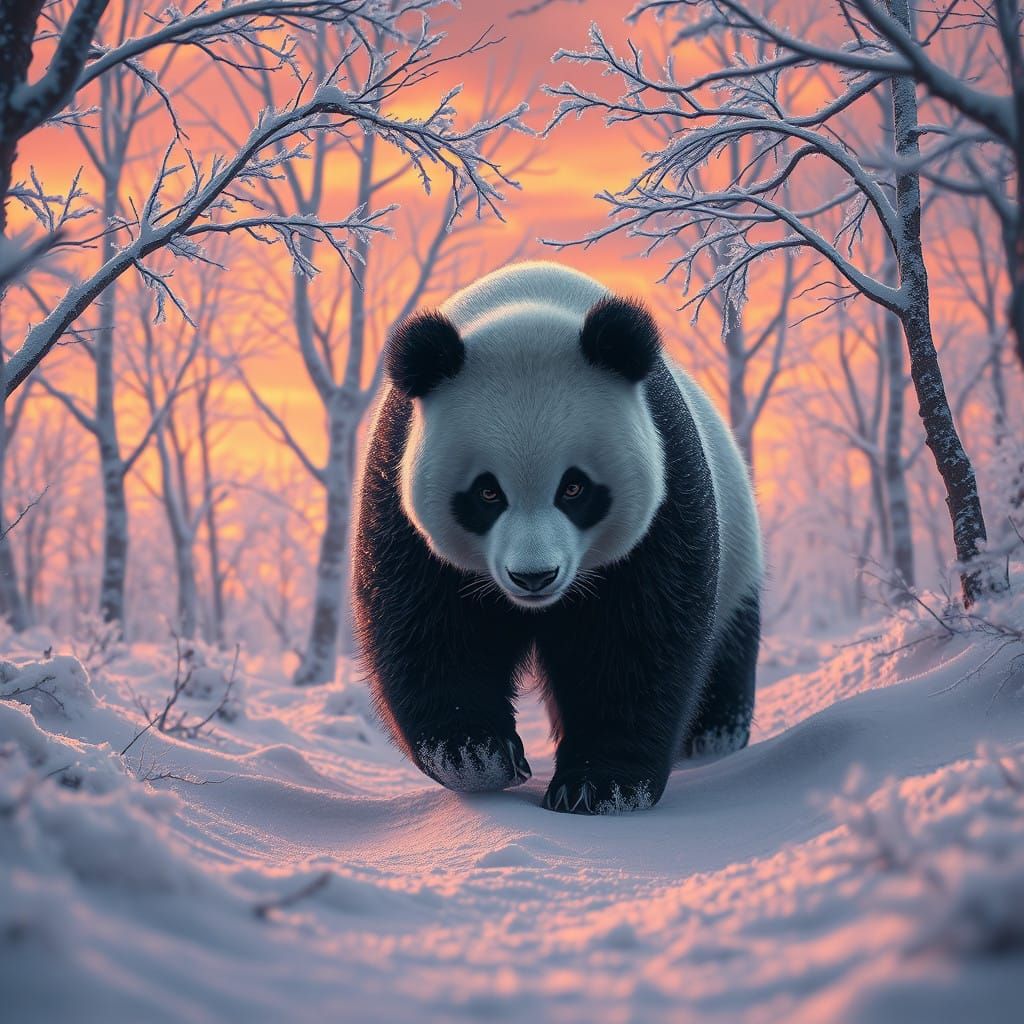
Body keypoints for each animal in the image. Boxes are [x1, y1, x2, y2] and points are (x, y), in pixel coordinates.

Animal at [352, 261, 763, 814]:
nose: (534, 576)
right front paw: (477, 755)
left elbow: (638, 638)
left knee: (728, 646)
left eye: (574, 488)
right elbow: (424, 623)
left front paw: (603, 785)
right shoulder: (397, 486)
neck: (529, 307)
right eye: (487, 493)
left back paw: (712, 741)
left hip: (740, 550)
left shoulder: (668, 486)